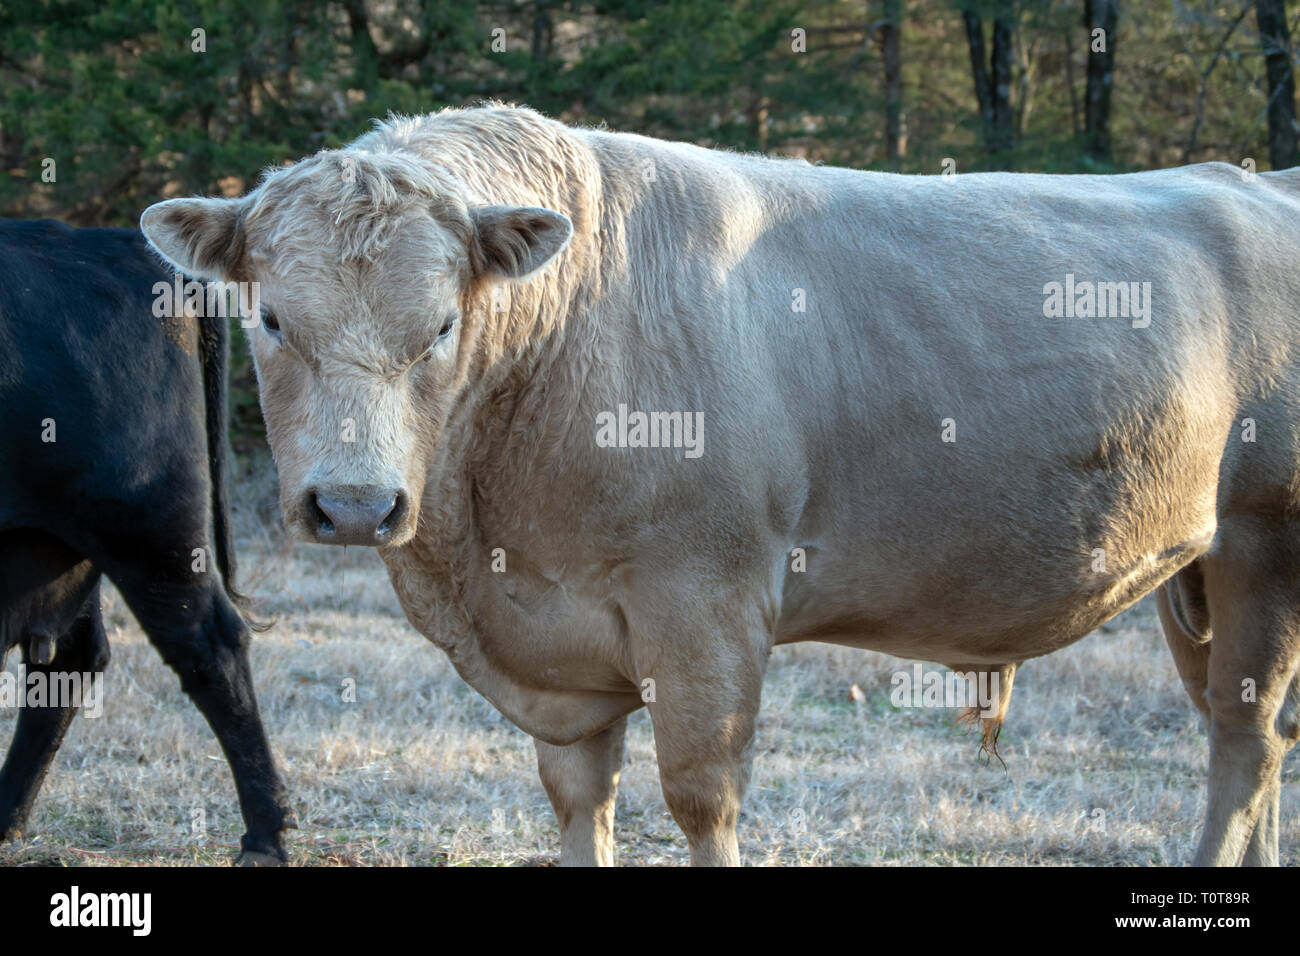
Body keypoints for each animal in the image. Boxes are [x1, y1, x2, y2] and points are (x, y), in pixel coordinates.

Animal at [140, 104, 1300, 866]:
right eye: (271, 317)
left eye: (440, 326)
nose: (353, 505)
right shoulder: (560, 653)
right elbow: (580, 796)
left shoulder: (706, 602)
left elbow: (701, 796)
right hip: (1191, 568)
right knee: (1246, 732)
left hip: (1265, 542)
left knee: (1245, 745)